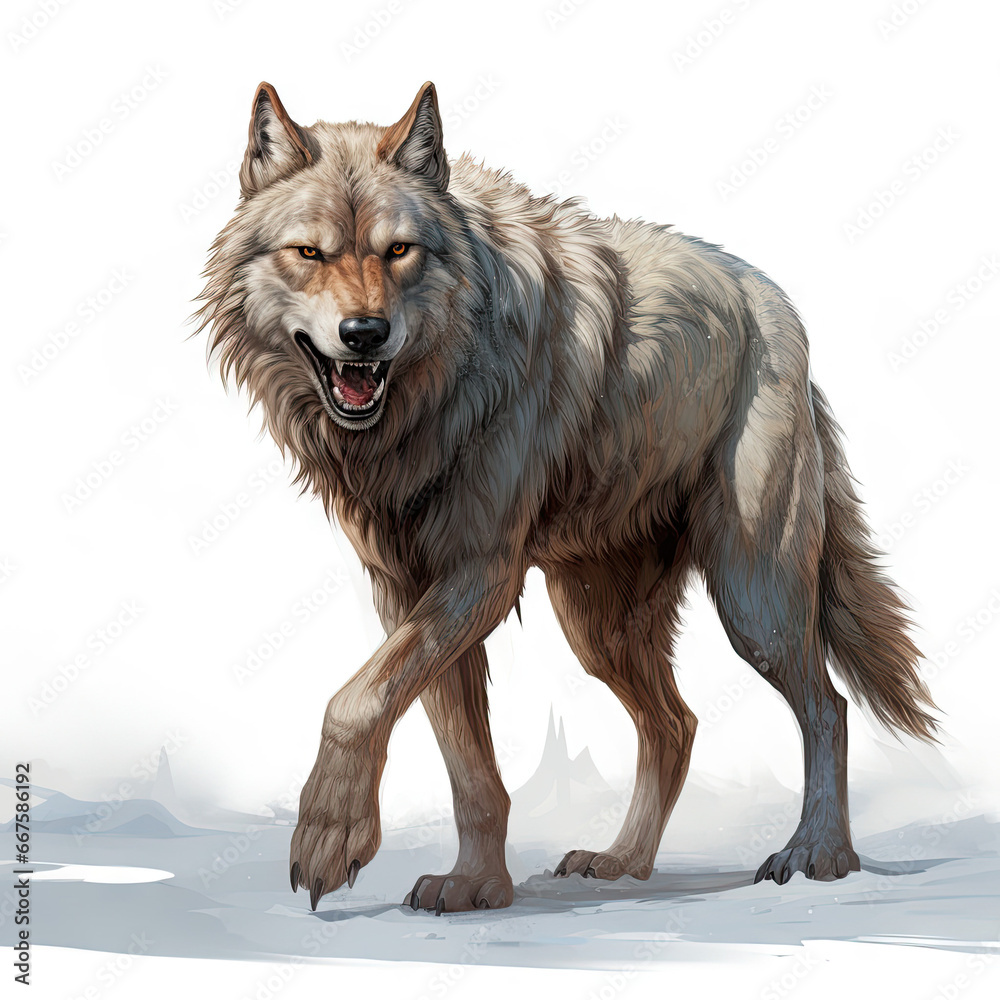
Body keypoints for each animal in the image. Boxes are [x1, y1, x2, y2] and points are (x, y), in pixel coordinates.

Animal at [196, 81, 937, 913]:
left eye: (398, 250)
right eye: (309, 253)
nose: (364, 333)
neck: (433, 402)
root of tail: (775, 305)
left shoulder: (480, 575)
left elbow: (354, 702)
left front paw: (329, 837)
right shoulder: (408, 588)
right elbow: (463, 764)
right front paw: (476, 884)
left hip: (755, 599)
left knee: (826, 705)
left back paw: (818, 853)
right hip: (596, 623)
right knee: (677, 724)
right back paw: (623, 862)